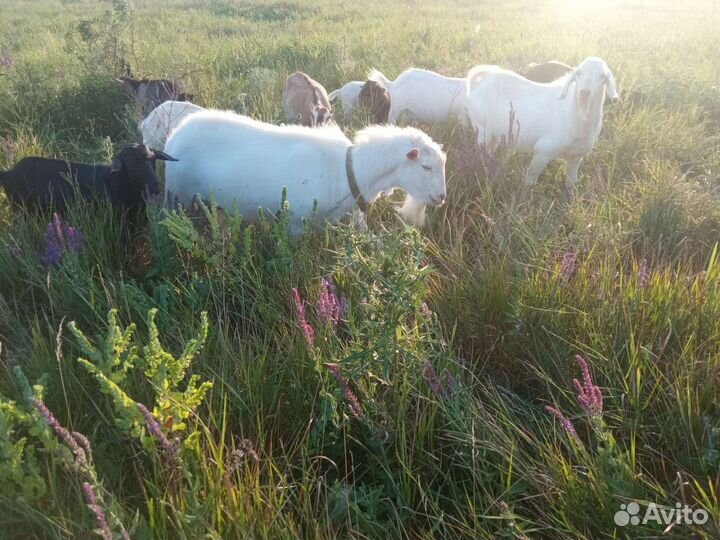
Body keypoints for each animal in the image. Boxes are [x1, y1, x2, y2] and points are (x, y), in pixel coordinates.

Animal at [165, 110, 444, 233]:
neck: (350, 172)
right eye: (426, 166)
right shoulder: (295, 223)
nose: (442, 198)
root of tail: (175, 134)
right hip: (180, 196)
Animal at [466, 57, 620, 200]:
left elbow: (571, 182)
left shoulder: (576, 157)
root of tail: (481, 82)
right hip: (482, 130)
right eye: (578, 73)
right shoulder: (543, 151)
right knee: (483, 152)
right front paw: (524, 199)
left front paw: (570, 200)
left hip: (494, 135)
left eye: (603, 76)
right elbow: (531, 176)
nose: (584, 93)